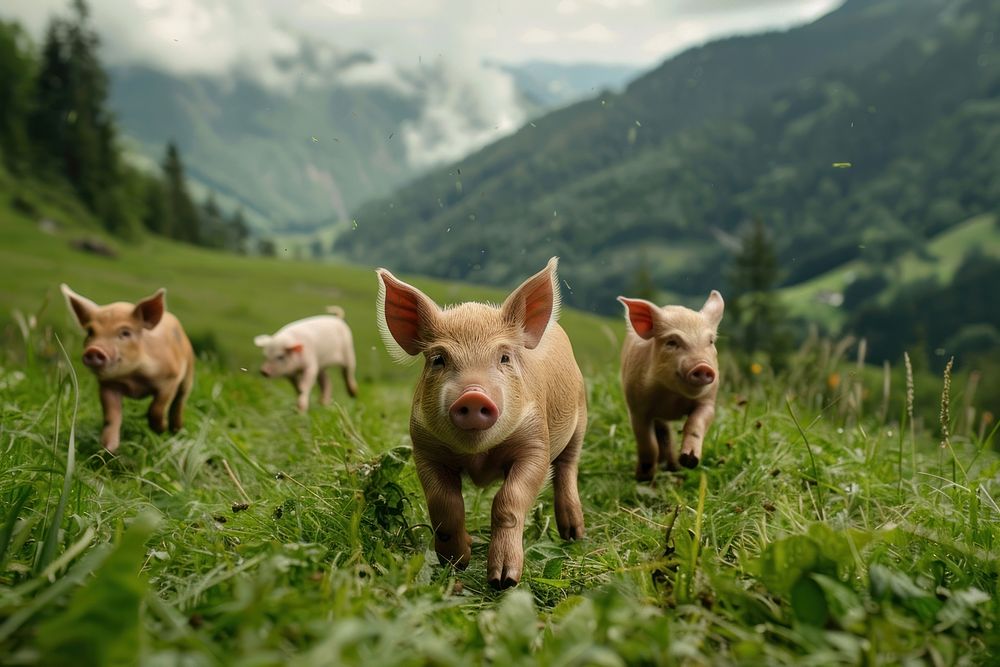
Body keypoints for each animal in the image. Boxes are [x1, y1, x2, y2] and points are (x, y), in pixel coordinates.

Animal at [60, 284, 195, 453]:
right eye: (91, 332)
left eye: (125, 333)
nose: (94, 350)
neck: (133, 378)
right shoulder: (108, 385)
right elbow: (111, 417)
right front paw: (107, 450)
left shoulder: (171, 378)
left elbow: (156, 408)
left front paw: (160, 429)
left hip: (189, 373)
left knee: (180, 401)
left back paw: (176, 430)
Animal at [376, 258, 586, 589]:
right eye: (438, 359)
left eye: (504, 357)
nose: (473, 395)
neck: (479, 456)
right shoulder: (425, 449)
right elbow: (444, 504)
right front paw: (457, 562)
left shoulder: (535, 444)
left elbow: (509, 501)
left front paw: (504, 581)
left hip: (580, 416)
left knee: (567, 467)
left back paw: (574, 535)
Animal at [618, 291, 724, 481]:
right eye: (672, 342)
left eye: (710, 342)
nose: (703, 366)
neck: (672, 398)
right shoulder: (636, 408)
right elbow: (648, 443)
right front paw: (644, 478)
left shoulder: (708, 401)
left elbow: (695, 424)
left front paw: (689, 461)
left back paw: (675, 468)